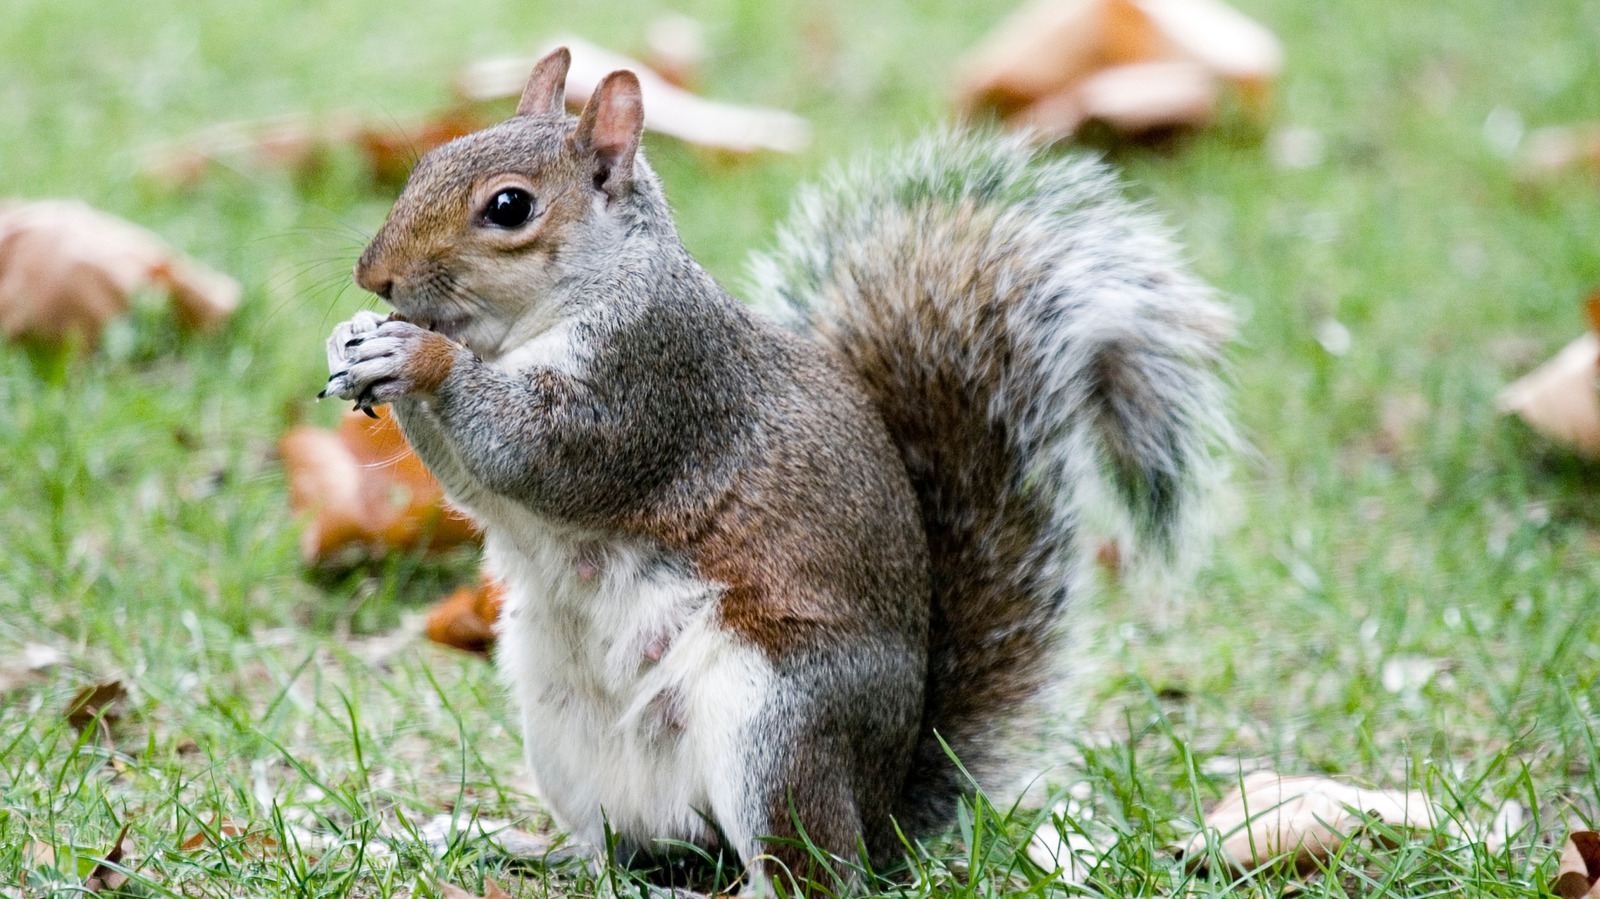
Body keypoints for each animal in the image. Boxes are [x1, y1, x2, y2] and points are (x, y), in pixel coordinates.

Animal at [322, 47, 1231, 894]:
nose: (373, 274)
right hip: (561, 724)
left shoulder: (650, 384)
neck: (548, 312)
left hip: (777, 722)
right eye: (427, 164)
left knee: (813, 869)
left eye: (509, 207)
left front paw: (420, 354)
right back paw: (530, 845)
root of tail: (882, 807)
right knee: (630, 843)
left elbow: (534, 451)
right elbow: (475, 483)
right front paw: (355, 339)